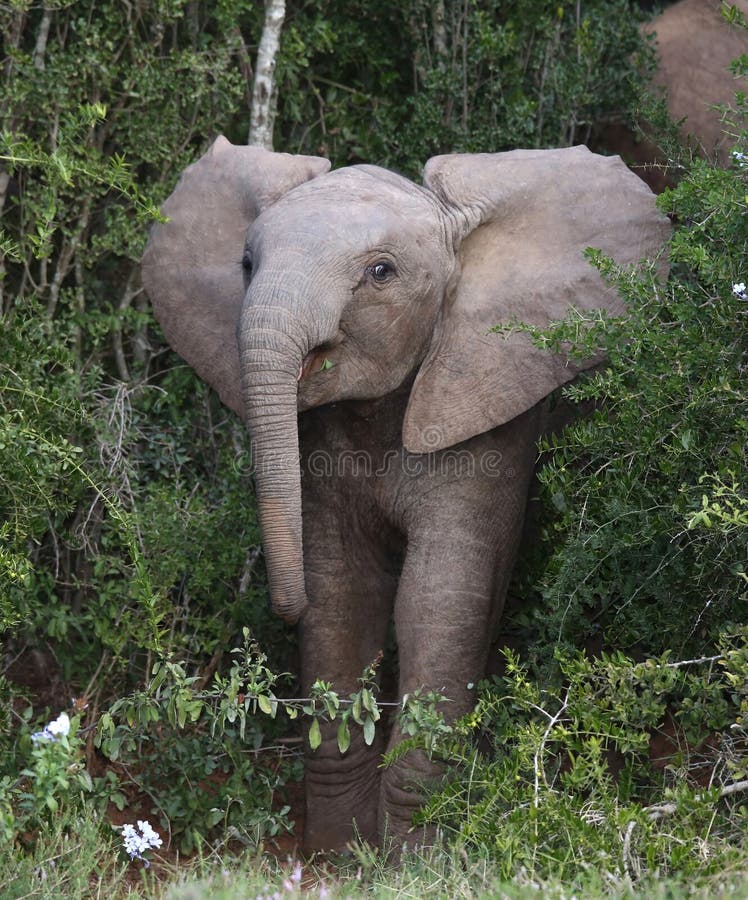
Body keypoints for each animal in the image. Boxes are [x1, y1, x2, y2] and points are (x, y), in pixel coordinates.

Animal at [141, 138, 669, 852]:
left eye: (381, 272)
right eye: (246, 264)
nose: (277, 607)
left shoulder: (486, 404)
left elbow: (438, 597)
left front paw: (413, 859)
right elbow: (341, 592)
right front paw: (339, 853)